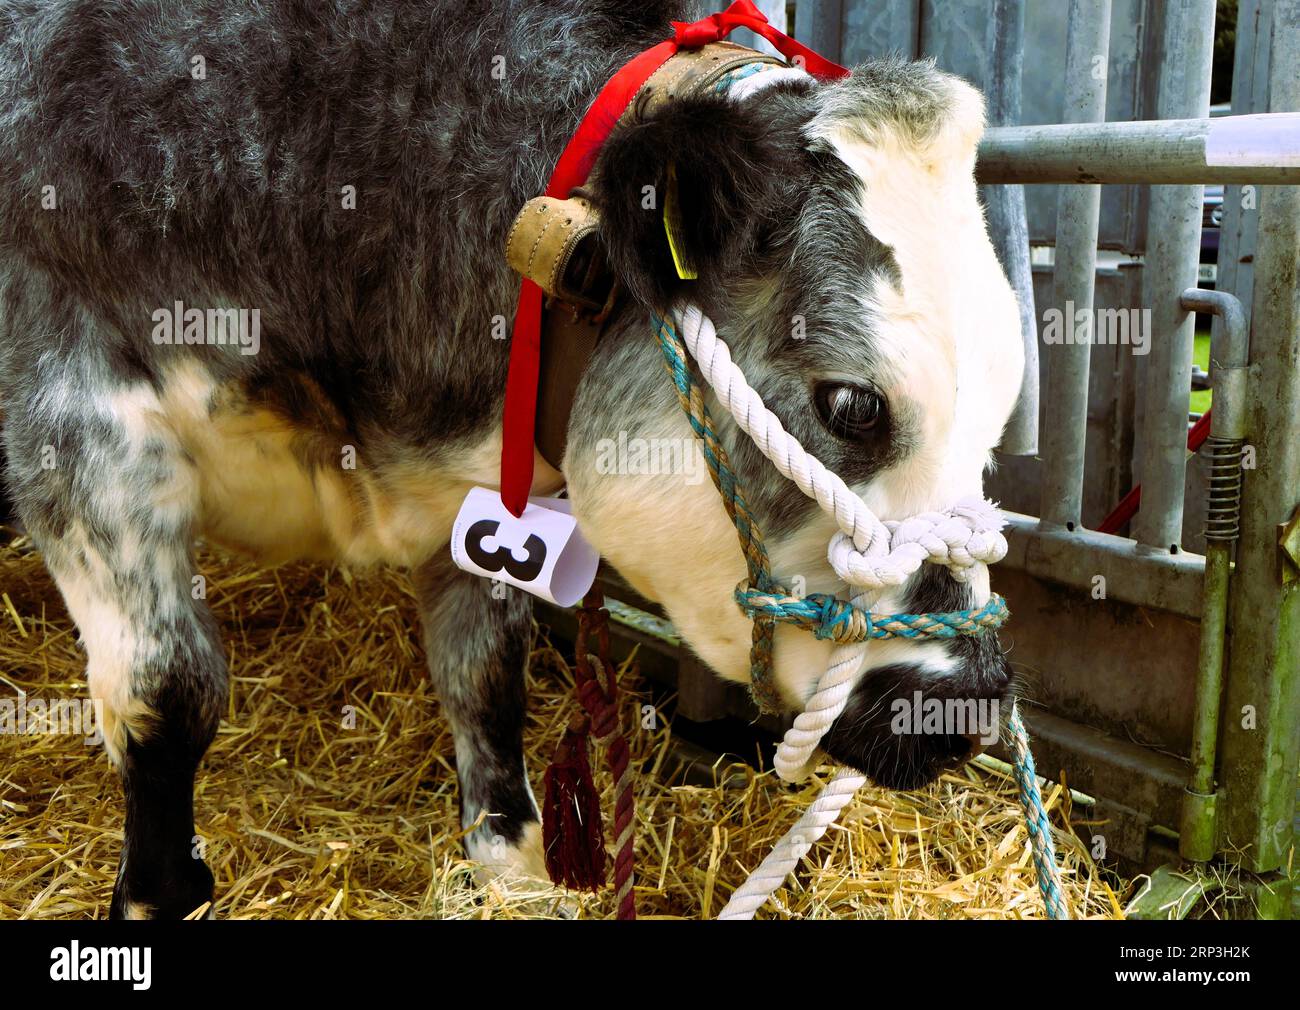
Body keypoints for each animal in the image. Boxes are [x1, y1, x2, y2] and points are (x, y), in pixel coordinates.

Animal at [0, 0, 1024, 919]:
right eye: (850, 403)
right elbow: (168, 692)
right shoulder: (73, 416)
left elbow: (486, 670)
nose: (969, 709)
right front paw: (160, 896)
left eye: (998, 421)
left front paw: (512, 866)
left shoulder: (481, 497)